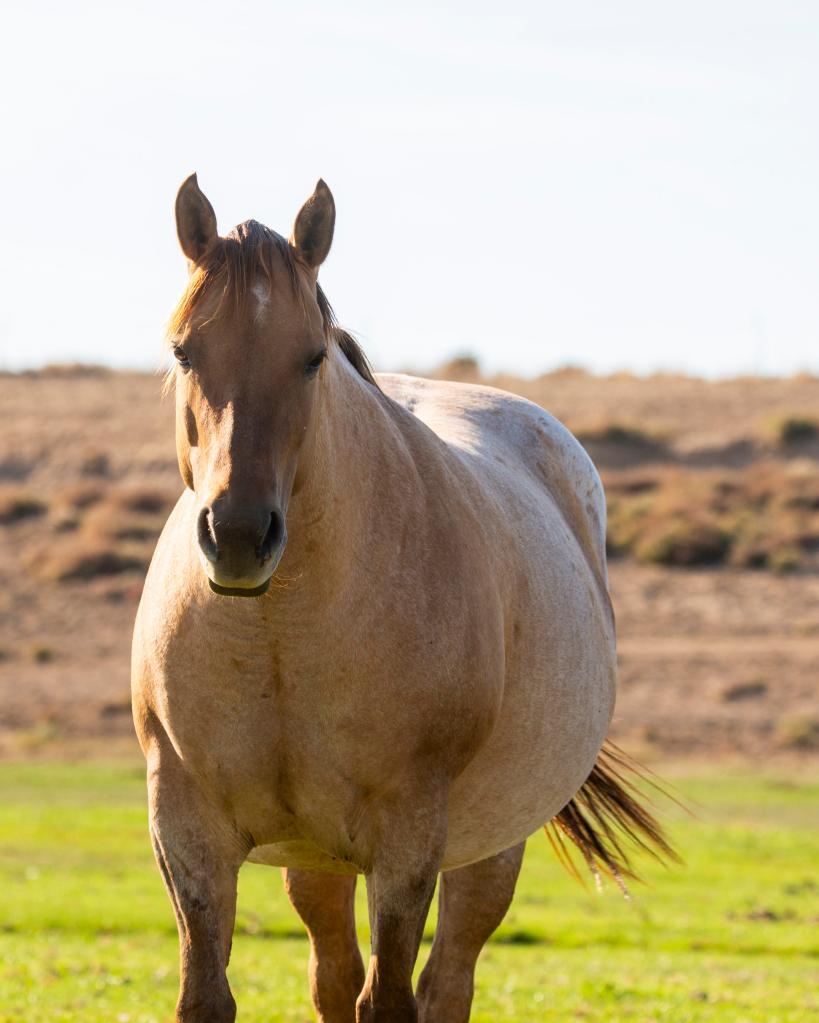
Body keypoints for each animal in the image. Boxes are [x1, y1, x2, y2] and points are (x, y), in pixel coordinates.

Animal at [131, 175, 672, 1023]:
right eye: (185, 351)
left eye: (312, 357)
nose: (239, 535)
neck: (279, 630)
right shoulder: (186, 830)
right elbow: (207, 996)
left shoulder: (407, 841)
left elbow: (388, 998)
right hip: (315, 856)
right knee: (331, 972)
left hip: (487, 847)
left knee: (445, 982)